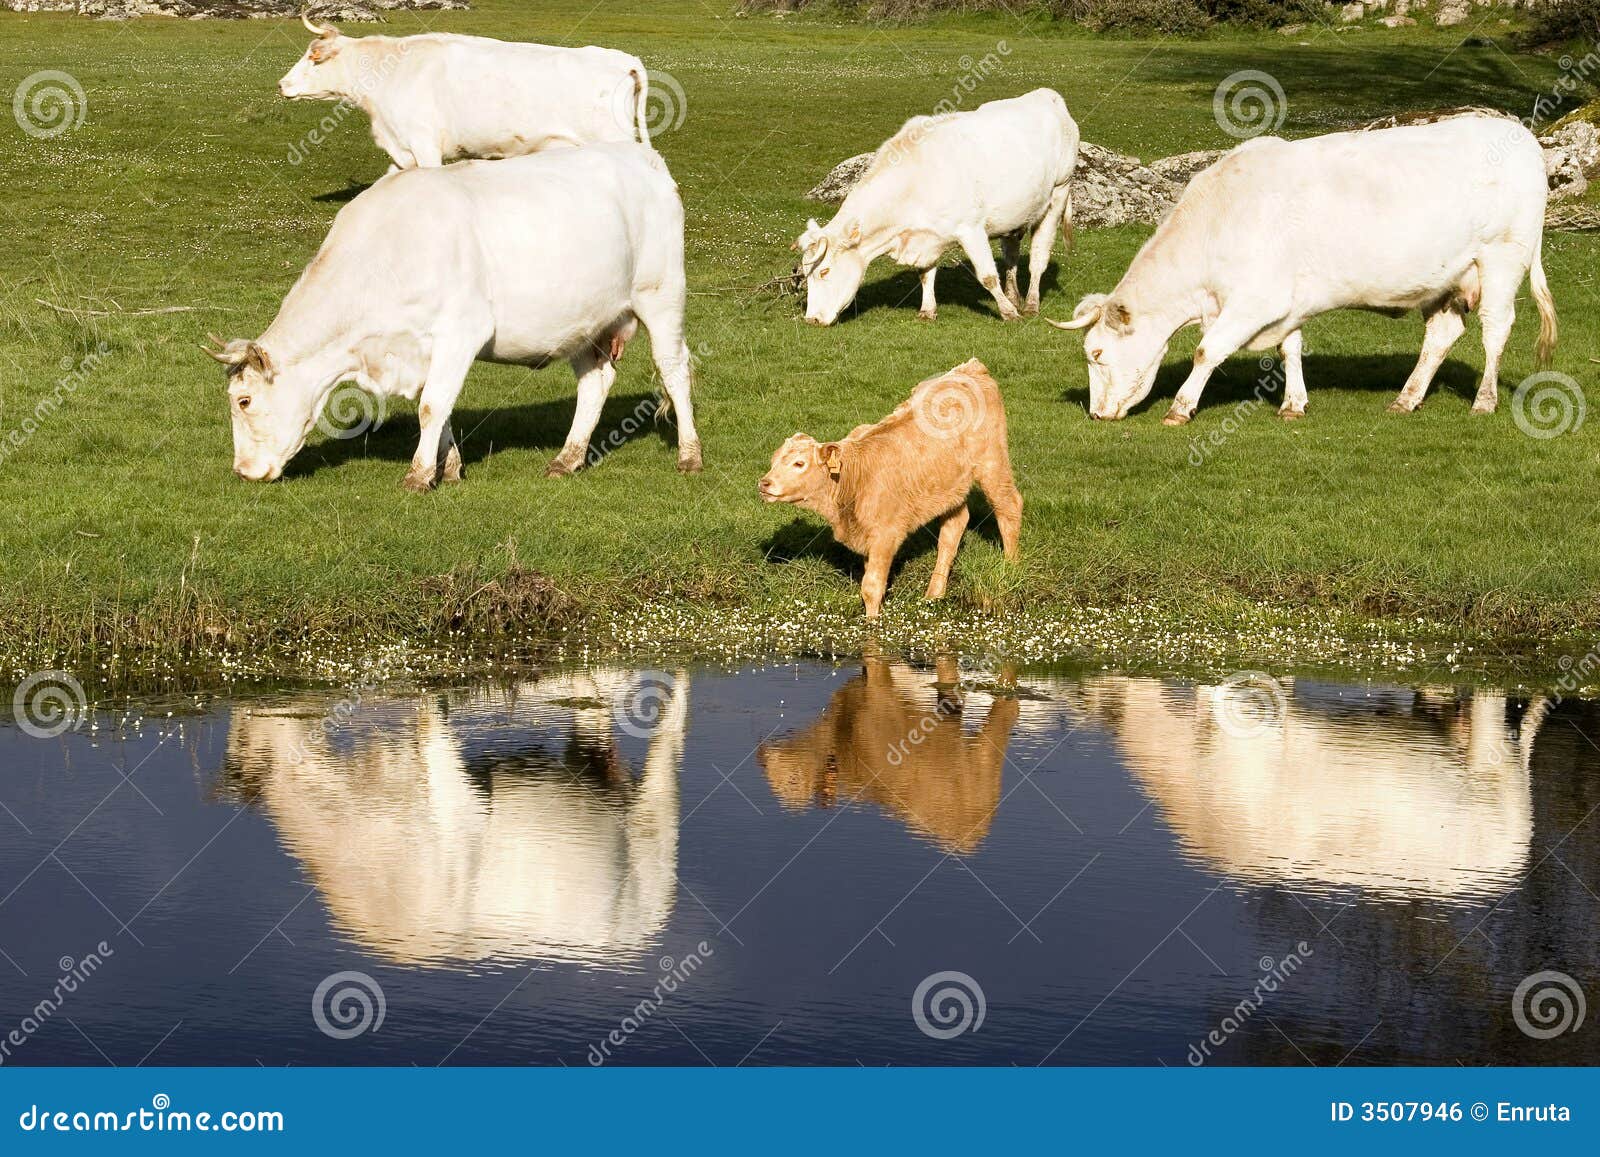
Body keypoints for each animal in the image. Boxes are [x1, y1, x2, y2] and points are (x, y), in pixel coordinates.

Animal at [206, 142, 701, 488]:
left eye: (243, 400)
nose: (242, 471)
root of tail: (641, 155)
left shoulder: (461, 331)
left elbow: (431, 405)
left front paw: (418, 475)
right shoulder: (424, 348)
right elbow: (437, 406)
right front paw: (449, 468)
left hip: (662, 295)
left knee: (675, 371)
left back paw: (689, 455)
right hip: (583, 321)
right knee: (595, 383)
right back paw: (567, 459)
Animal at [758, 358, 1021, 617]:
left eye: (799, 463)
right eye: (774, 460)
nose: (764, 483)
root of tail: (970, 368)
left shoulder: (886, 533)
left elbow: (871, 586)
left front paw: (872, 623)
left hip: (992, 463)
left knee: (1009, 506)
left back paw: (1010, 568)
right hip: (950, 484)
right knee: (954, 527)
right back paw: (934, 593)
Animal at [794, 88, 1079, 325]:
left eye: (825, 271)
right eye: (805, 273)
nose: (812, 319)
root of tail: (1047, 95)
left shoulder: (971, 229)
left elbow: (987, 276)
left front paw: (1008, 313)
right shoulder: (926, 236)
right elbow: (925, 274)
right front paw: (927, 310)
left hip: (1059, 191)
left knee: (1038, 259)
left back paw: (1029, 304)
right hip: (1014, 214)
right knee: (1011, 254)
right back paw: (1013, 295)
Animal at [1050, 115, 1557, 423]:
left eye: (1096, 354)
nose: (1095, 413)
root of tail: (1523, 139)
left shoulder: (1255, 300)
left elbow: (1206, 351)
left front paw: (1181, 407)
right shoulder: (1287, 302)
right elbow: (1291, 348)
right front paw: (1293, 403)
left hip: (1501, 259)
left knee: (1496, 328)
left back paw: (1484, 401)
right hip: (1446, 280)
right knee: (1442, 336)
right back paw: (1406, 398)